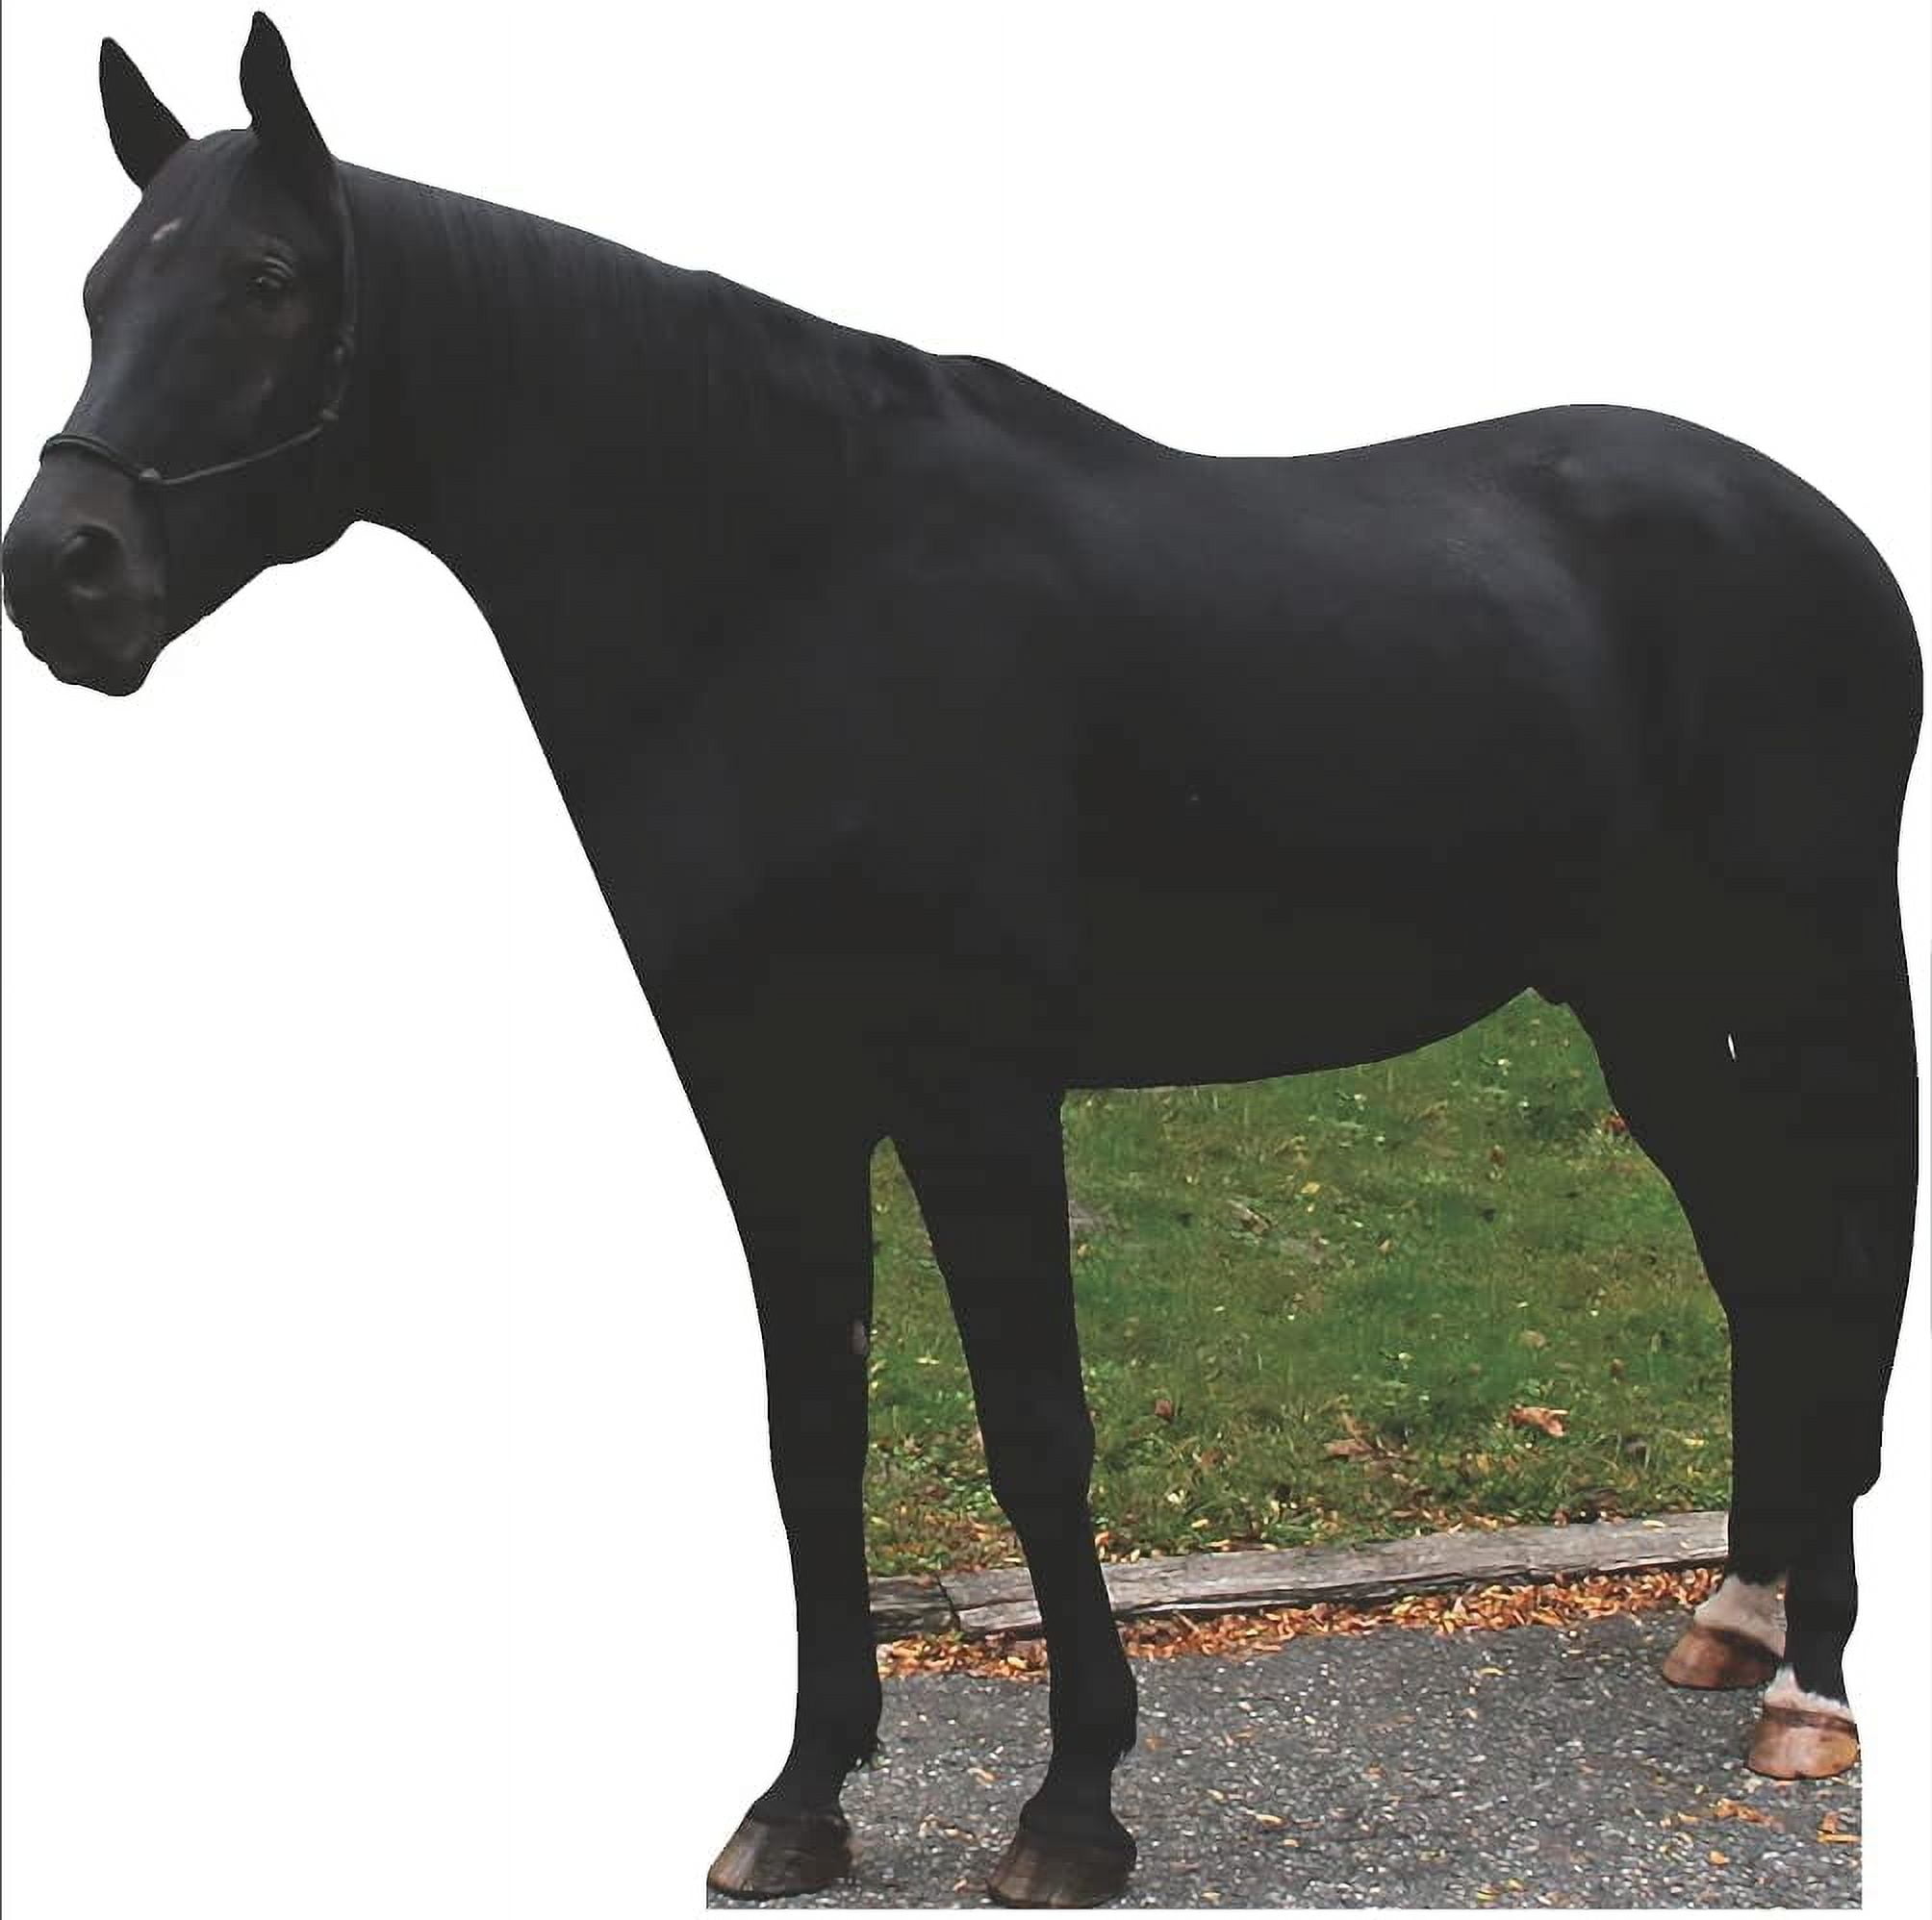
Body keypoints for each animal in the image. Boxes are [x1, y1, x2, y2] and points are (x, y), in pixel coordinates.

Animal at [3, 15, 1919, 1907]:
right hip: (1641, 996)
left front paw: (1071, 1806)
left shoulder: (972, 1087)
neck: (782, 587)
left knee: (1826, 1268)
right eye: (98, 286)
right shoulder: (762, 1093)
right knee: (1760, 1264)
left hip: (1798, 976)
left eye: (264, 279)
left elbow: (1035, 1428)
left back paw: (1811, 1685)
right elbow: (807, 1432)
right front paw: (800, 1796)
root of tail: (1815, 524)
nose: (60, 574)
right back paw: (1739, 1619)